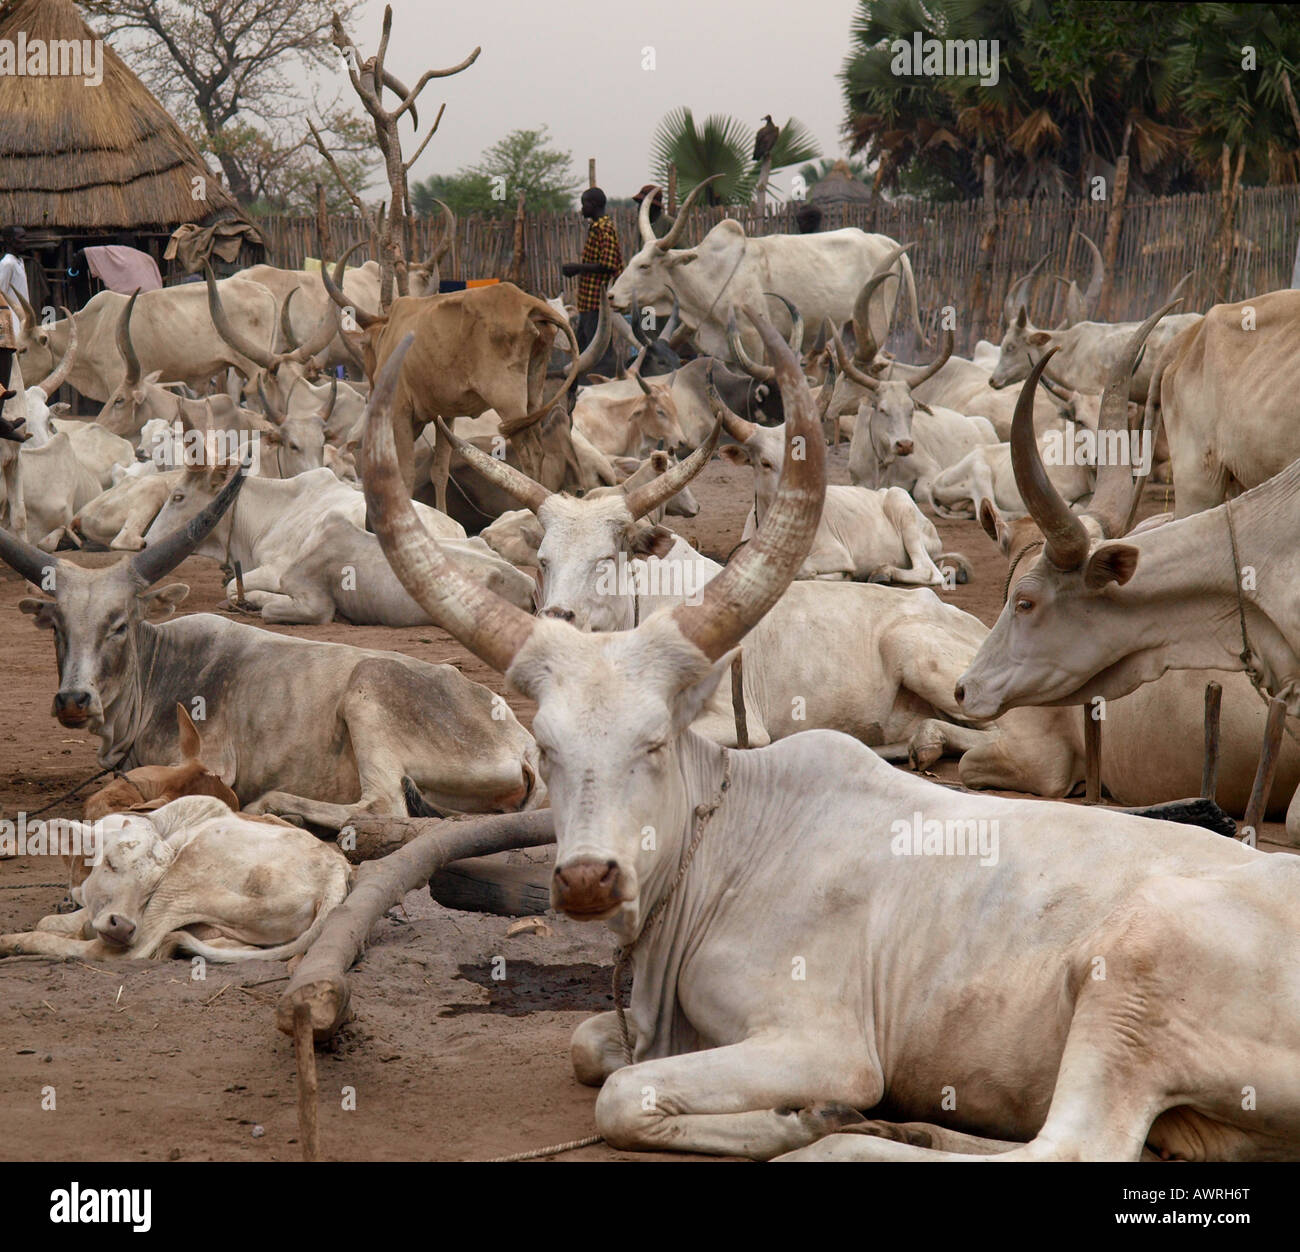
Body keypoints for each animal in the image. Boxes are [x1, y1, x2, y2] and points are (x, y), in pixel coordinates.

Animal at [0, 796, 350, 963]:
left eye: (150, 888)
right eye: (110, 863)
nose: (122, 926)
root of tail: (334, 868)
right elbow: (56, 919)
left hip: (184, 879)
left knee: (129, 951)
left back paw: (13, 944)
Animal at [360, 315, 1300, 1162]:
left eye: (655, 742)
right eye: (547, 748)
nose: (588, 880)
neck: (728, 837)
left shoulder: (823, 1042)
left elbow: (623, 1094)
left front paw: (798, 1118)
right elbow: (591, 1049)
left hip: (1131, 983)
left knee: (1068, 1148)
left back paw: (841, 1134)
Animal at [608, 178, 924, 361]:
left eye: (645, 266)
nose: (611, 296)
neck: (713, 276)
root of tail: (882, 240)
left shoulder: (754, 340)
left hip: (875, 325)